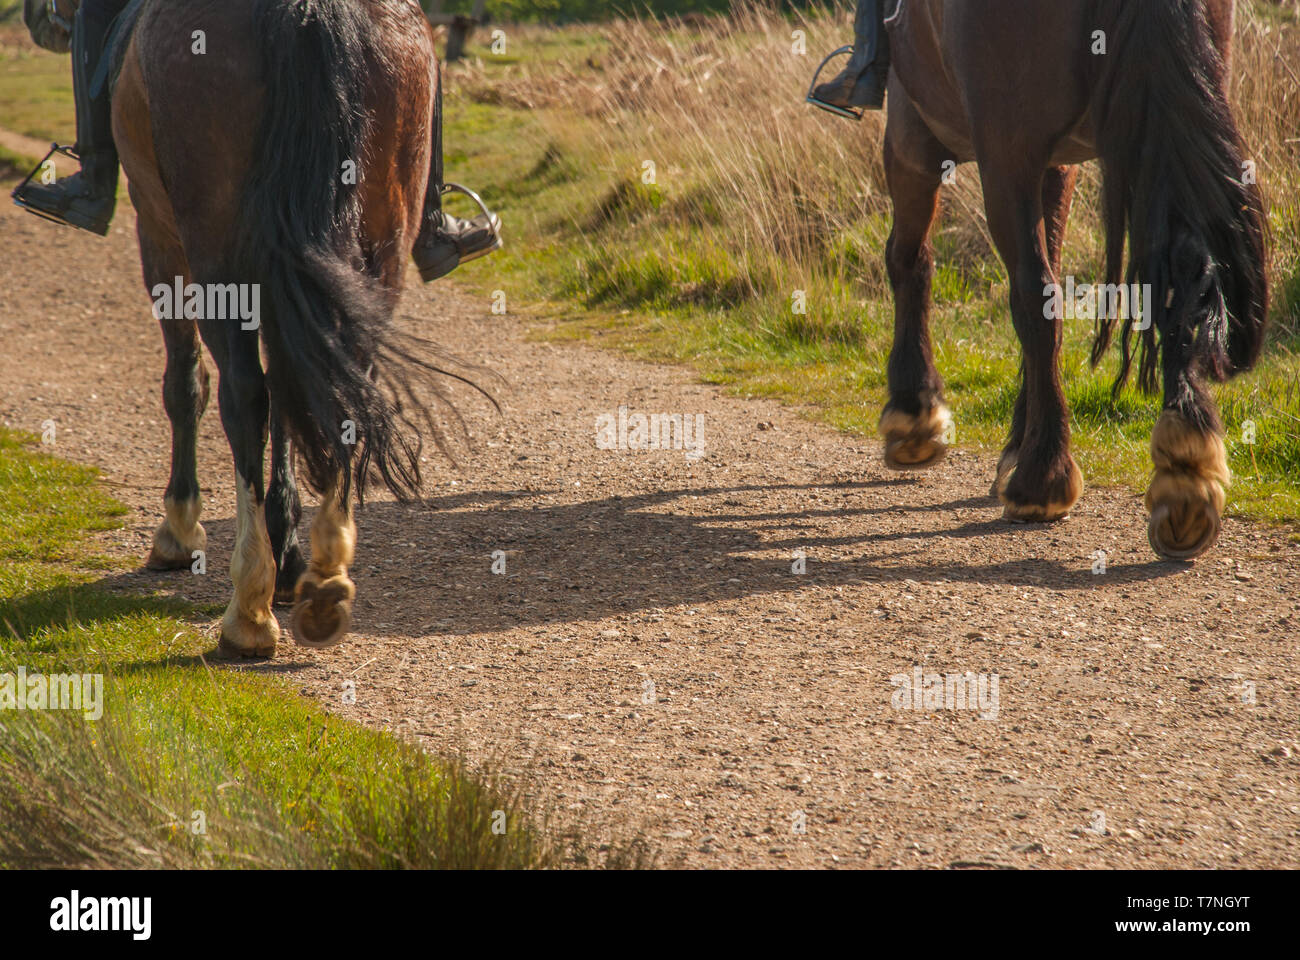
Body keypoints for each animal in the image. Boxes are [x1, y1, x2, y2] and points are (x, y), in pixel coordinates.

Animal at [28, 0, 467, 658]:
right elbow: (291, 395)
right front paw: (290, 550)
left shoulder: (160, 240)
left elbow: (187, 385)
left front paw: (182, 529)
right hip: (380, 250)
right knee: (339, 386)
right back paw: (324, 577)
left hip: (211, 252)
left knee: (241, 394)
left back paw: (249, 606)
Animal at [875, 0, 1268, 561]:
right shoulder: (1056, 161)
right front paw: (1014, 441)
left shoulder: (913, 128)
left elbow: (912, 261)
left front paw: (915, 410)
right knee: (1176, 273)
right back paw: (1186, 467)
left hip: (1002, 153)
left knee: (1028, 294)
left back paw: (1042, 478)